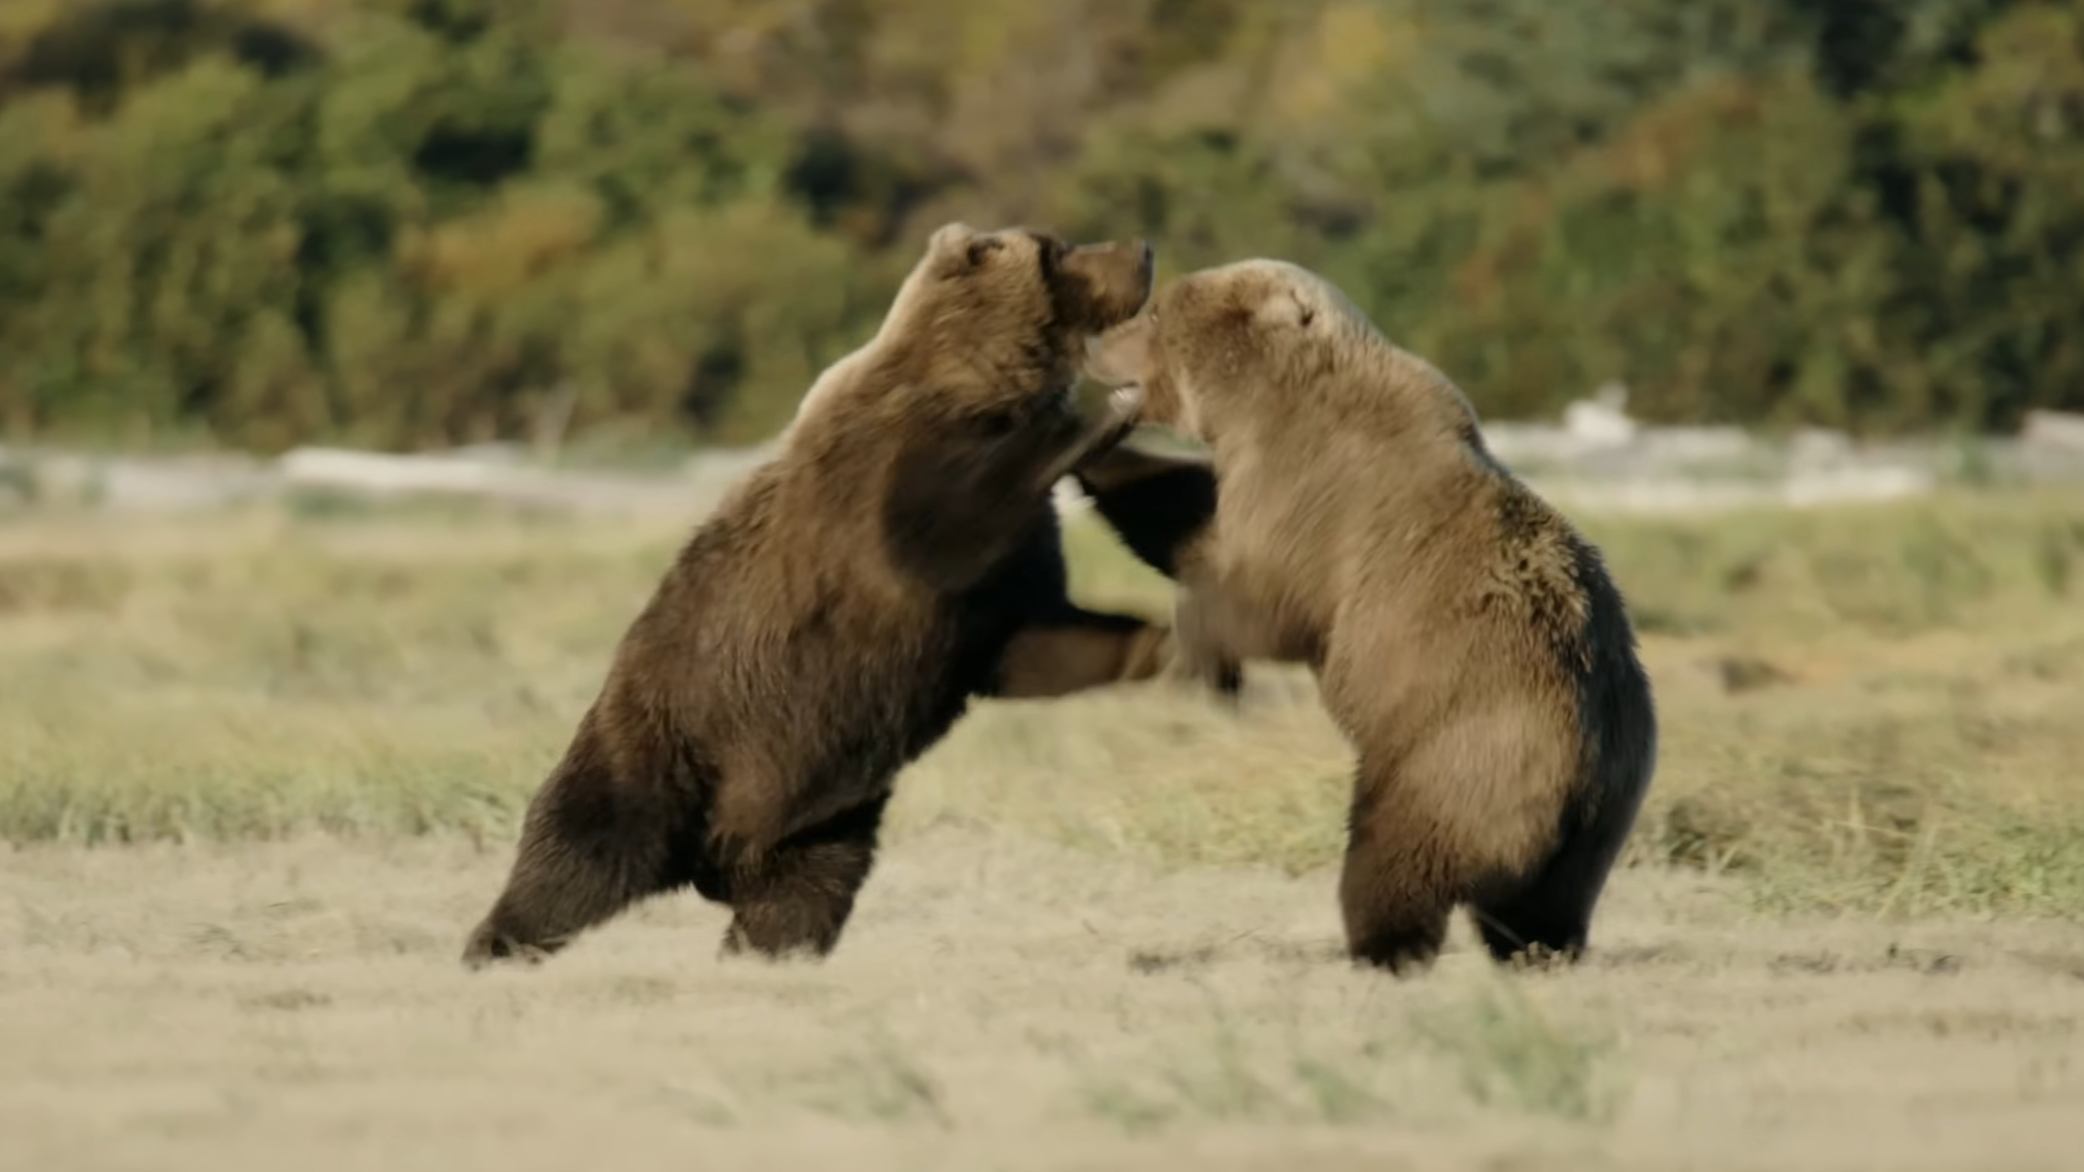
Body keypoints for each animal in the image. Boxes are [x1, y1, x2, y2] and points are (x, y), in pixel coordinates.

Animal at [460, 222, 1190, 969]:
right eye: (1058, 249)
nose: (1142, 248)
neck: (979, 381)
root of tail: (716, 859)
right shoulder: (896, 478)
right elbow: (951, 526)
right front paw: (1109, 404)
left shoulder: (998, 594)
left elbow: (1037, 642)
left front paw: (1165, 640)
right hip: (664, 745)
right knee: (579, 854)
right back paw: (495, 945)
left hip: (816, 809)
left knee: (804, 893)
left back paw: (766, 957)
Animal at [1080, 257, 1659, 974]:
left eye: (1157, 311)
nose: (1093, 343)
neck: (1262, 399)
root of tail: (1585, 763)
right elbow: (1180, 510)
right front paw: (1094, 452)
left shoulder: (1315, 494)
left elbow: (1261, 594)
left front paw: (1205, 658)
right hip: (1601, 820)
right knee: (1543, 907)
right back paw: (1537, 951)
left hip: (1448, 757)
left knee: (1393, 858)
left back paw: (1380, 948)